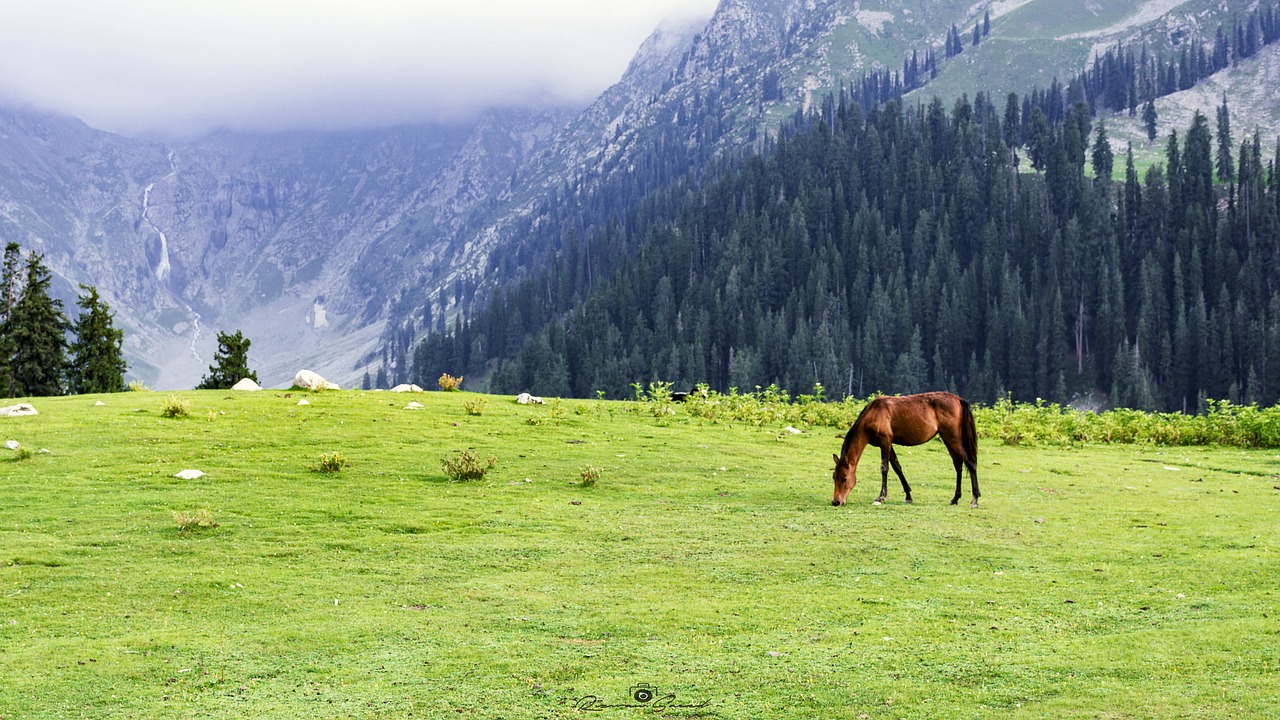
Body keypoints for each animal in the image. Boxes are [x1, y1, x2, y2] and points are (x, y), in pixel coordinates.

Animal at [829, 392, 977, 504]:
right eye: (834, 477)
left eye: (844, 478)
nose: (836, 501)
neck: (874, 413)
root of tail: (958, 400)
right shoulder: (888, 443)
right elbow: (897, 467)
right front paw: (908, 496)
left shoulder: (885, 441)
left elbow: (884, 468)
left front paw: (881, 497)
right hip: (947, 439)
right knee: (958, 465)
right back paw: (955, 498)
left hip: (953, 438)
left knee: (970, 462)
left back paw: (974, 499)